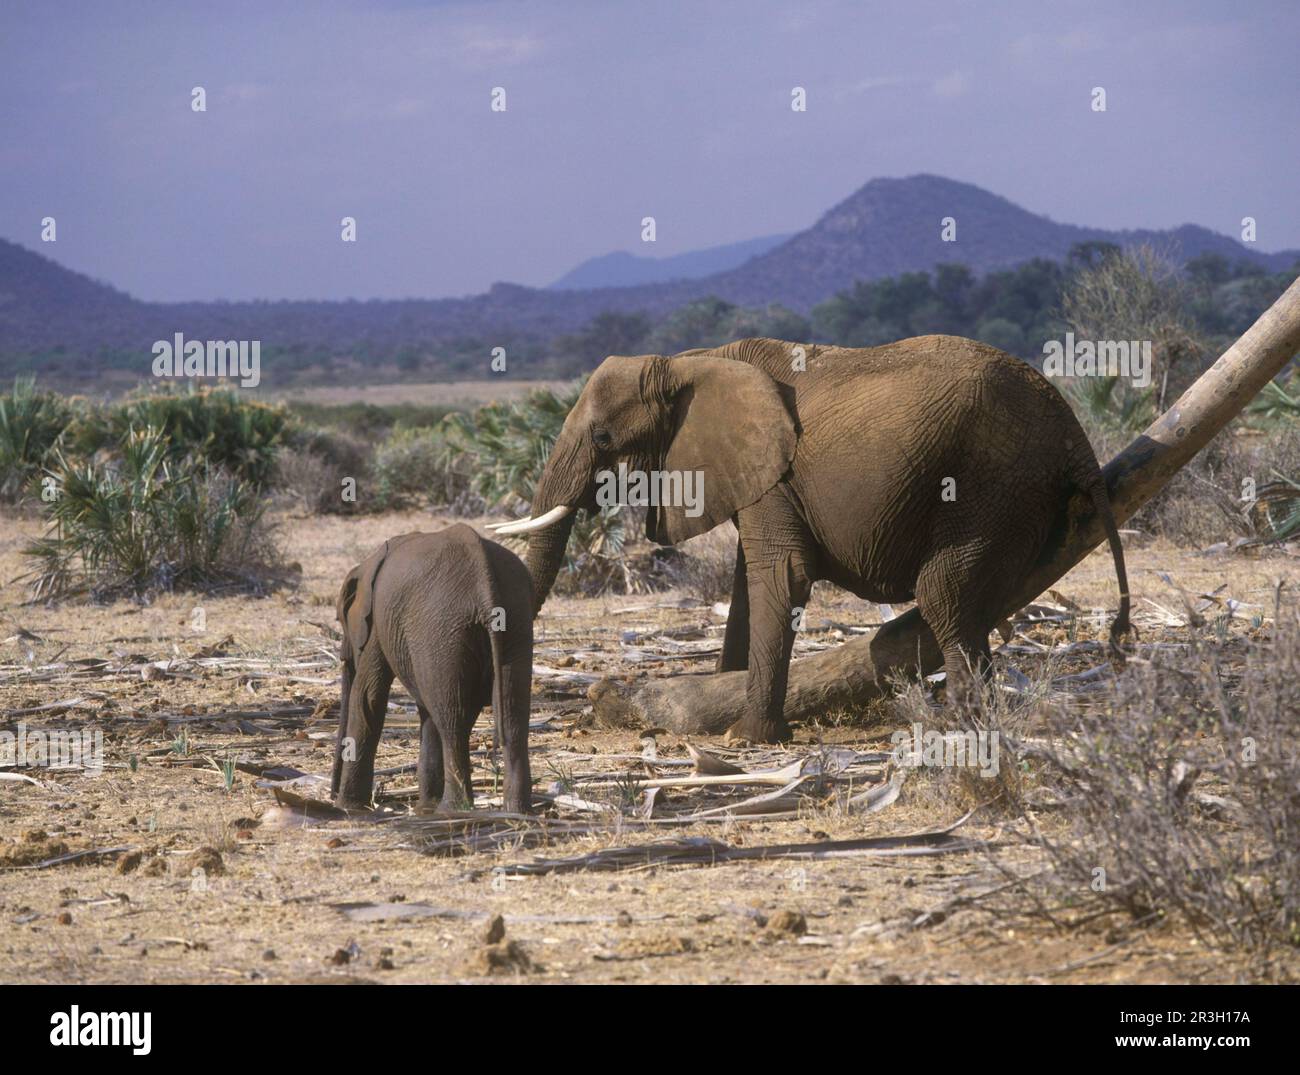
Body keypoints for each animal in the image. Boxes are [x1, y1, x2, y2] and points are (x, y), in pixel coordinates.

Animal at [330, 524, 534, 813]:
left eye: (340, 620)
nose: (331, 794)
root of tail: (483, 576)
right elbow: (425, 707)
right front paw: (425, 807)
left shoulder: (378, 626)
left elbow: (368, 697)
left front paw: (348, 808)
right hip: (514, 621)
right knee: (510, 711)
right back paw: (517, 811)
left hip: (441, 628)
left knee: (451, 717)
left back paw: (452, 810)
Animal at [493, 335, 1130, 744]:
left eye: (603, 438)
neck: (685, 362)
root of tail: (1073, 429)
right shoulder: (759, 477)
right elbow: (747, 586)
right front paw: (721, 701)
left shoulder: (776, 471)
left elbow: (783, 576)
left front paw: (748, 738)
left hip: (991, 479)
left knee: (943, 592)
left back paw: (962, 725)